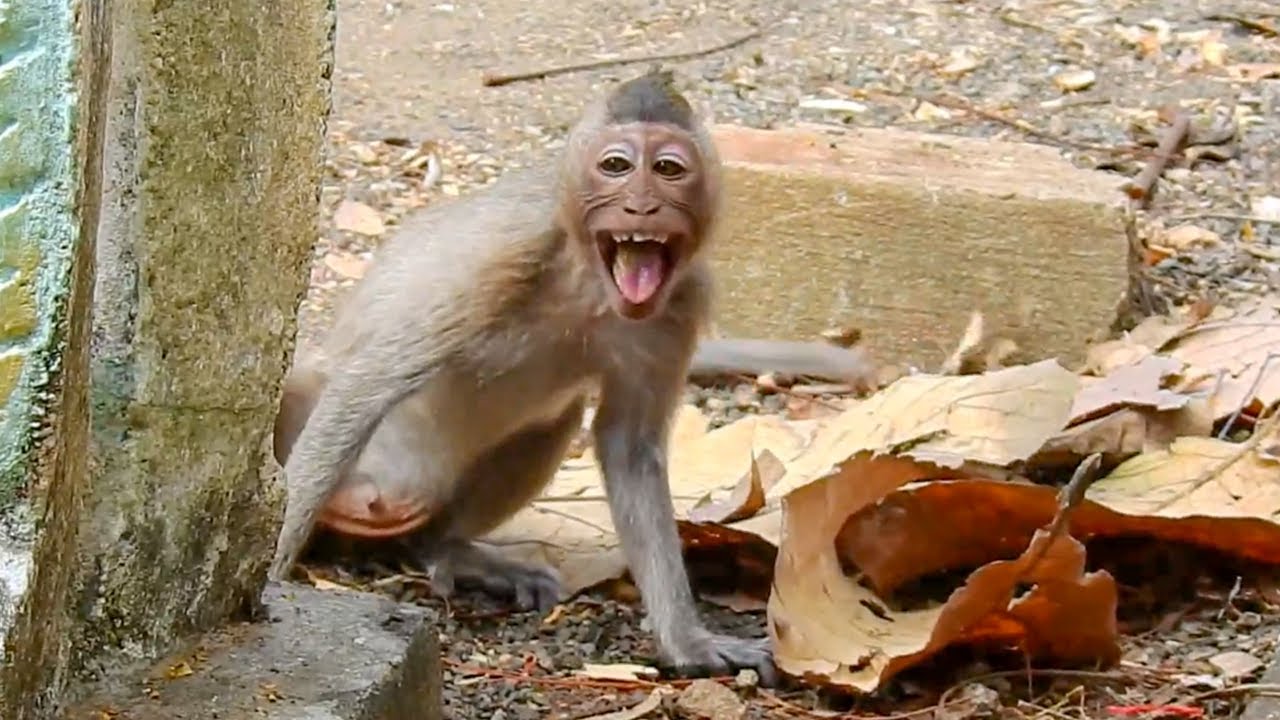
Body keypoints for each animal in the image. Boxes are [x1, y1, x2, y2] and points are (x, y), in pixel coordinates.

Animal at [267, 70, 864, 682]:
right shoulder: (499, 253)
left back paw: (447, 549)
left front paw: (689, 644)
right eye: (617, 166)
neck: (589, 283)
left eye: (669, 169)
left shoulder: (683, 303)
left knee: (555, 419)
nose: (642, 207)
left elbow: (629, 447)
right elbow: (371, 380)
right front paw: (269, 578)